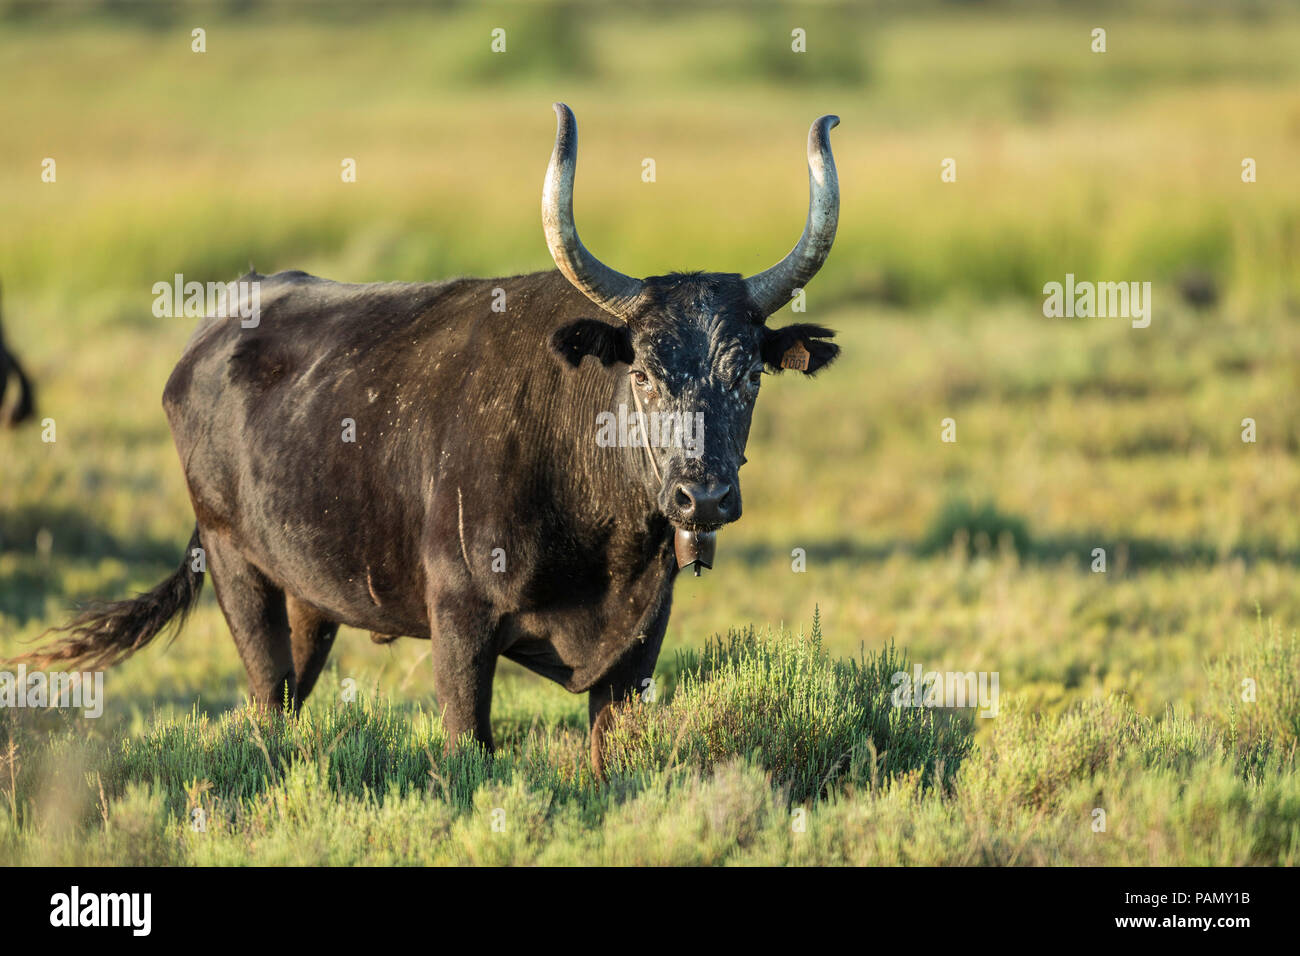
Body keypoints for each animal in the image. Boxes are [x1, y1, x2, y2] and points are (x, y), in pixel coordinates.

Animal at [15, 104, 842, 773]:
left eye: (749, 375)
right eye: (640, 372)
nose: (702, 496)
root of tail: (228, 313)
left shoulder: (637, 647)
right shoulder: (461, 624)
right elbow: (469, 744)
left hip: (308, 596)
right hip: (235, 566)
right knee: (266, 700)